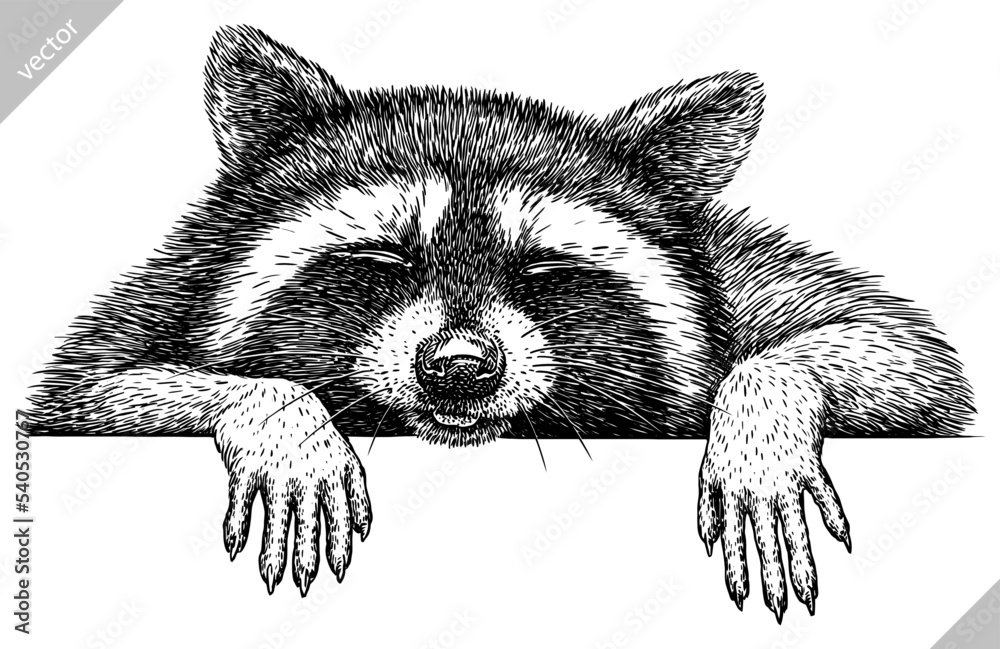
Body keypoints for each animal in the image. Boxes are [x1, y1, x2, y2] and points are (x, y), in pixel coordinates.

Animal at [24, 25, 974, 622]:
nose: (459, 369)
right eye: (386, 261)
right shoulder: (154, 302)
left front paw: (762, 411)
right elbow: (86, 392)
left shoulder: (745, 277)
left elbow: (902, 350)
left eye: (543, 271)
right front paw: (276, 415)